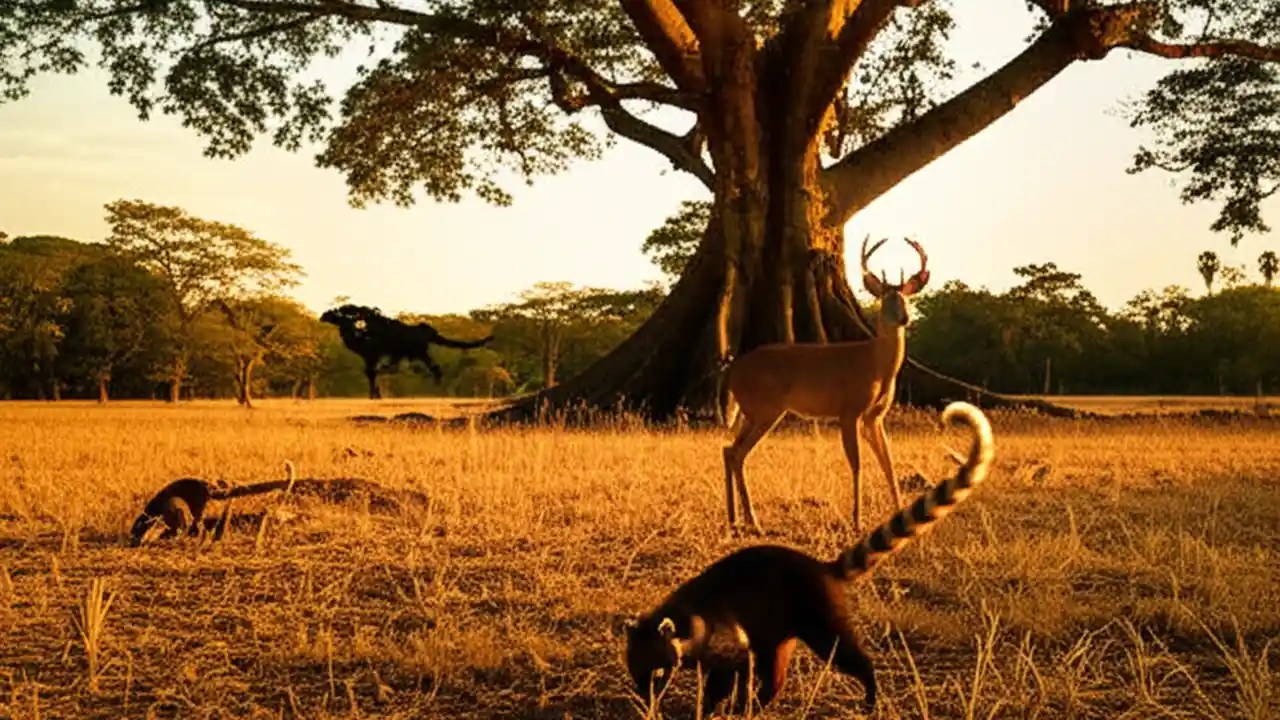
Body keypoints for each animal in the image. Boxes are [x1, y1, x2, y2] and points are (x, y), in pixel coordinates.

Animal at [718, 235, 930, 534]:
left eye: (906, 298)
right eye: (885, 300)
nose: (905, 318)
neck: (874, 363)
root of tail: (732, 369)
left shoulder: (874, 416)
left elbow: (887, 462)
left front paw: (899, 511)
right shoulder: (849, 411)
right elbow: (857, 463)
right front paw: (857, 520)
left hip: (752, 413)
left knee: (728, 450)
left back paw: (735, 519)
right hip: (764, 410)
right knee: (738, 453)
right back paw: (753, 522)